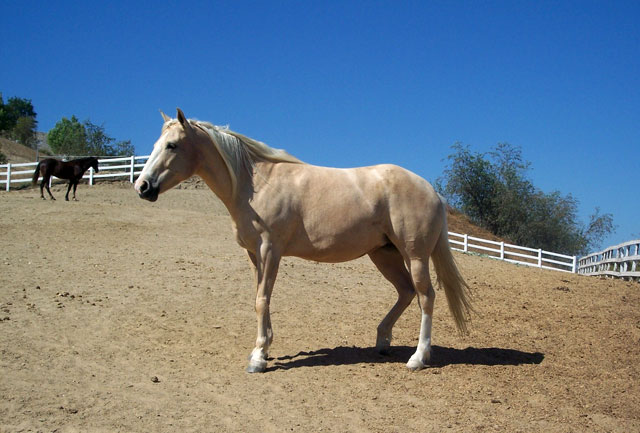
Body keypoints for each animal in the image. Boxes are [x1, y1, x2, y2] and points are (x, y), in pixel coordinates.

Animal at [135, 108, 473, 373]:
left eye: (172, 145)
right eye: (156, 144)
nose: (142, 186)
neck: (255, 184)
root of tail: (432, 191)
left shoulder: (270, 250)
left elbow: (262, 300)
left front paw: (258, 358)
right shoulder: (255, 255)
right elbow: (261, 299)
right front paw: (264, 348)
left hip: (414, 255)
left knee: (425, 296)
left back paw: (418, 358)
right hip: (383, 254)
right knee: (405, 292)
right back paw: (382, 342)